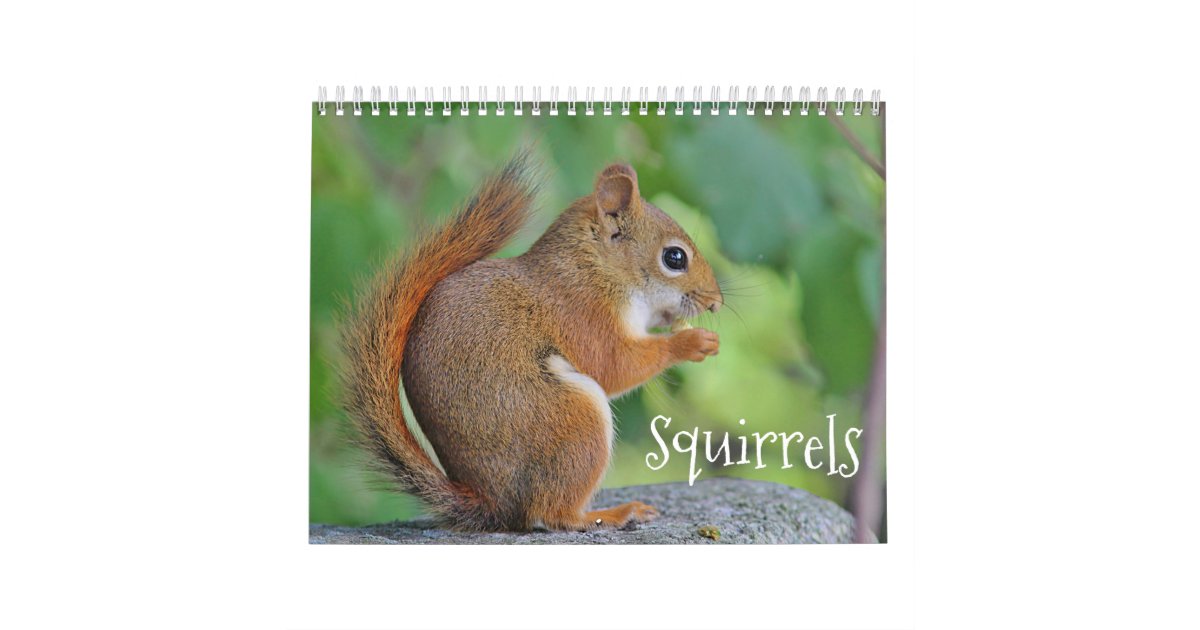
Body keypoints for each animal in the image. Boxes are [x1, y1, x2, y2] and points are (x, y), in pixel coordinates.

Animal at [339, 152, 723, 532]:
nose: (716, 303)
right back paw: (612, 514)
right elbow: (613, 364)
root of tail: (493, 502)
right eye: (674, 258)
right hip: (574, 420)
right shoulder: (582, 314)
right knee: (552, 513)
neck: (594, 268)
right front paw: (692, 341)